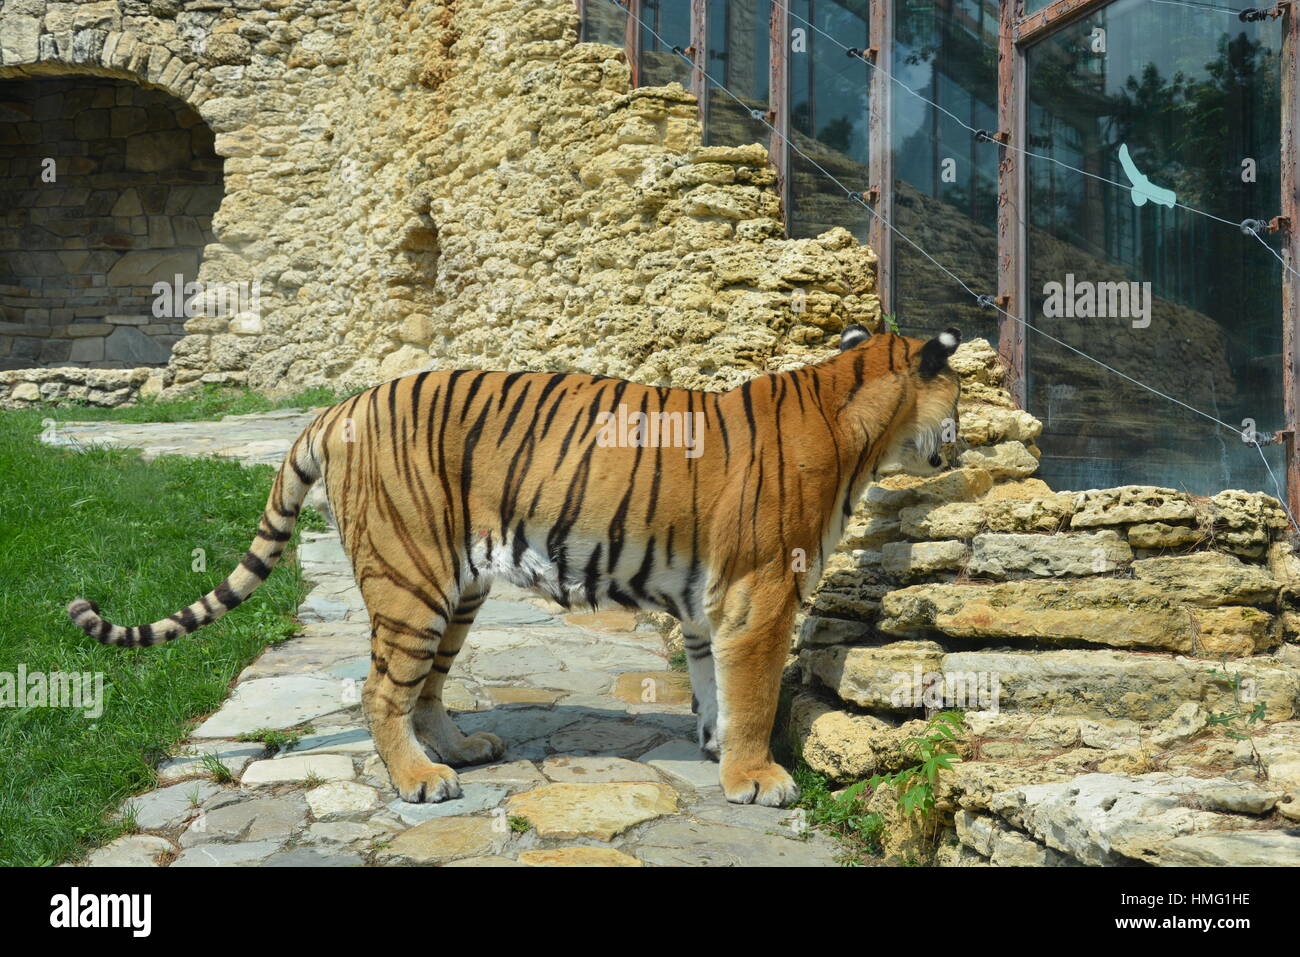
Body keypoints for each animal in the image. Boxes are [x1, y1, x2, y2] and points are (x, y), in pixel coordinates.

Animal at [68, 323, 962, 808]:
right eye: (961, 397)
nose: (957, 444)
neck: (856, 418)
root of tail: (342, 404)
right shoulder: (761, 591)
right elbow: (753, 693)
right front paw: (758, 776)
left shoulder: (713, 606)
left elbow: (715, 686)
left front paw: (718, 753)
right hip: (411, 579)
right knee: (380, 689)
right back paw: (419, 779)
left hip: (455, 591)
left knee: (424, 687)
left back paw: (459, 751)